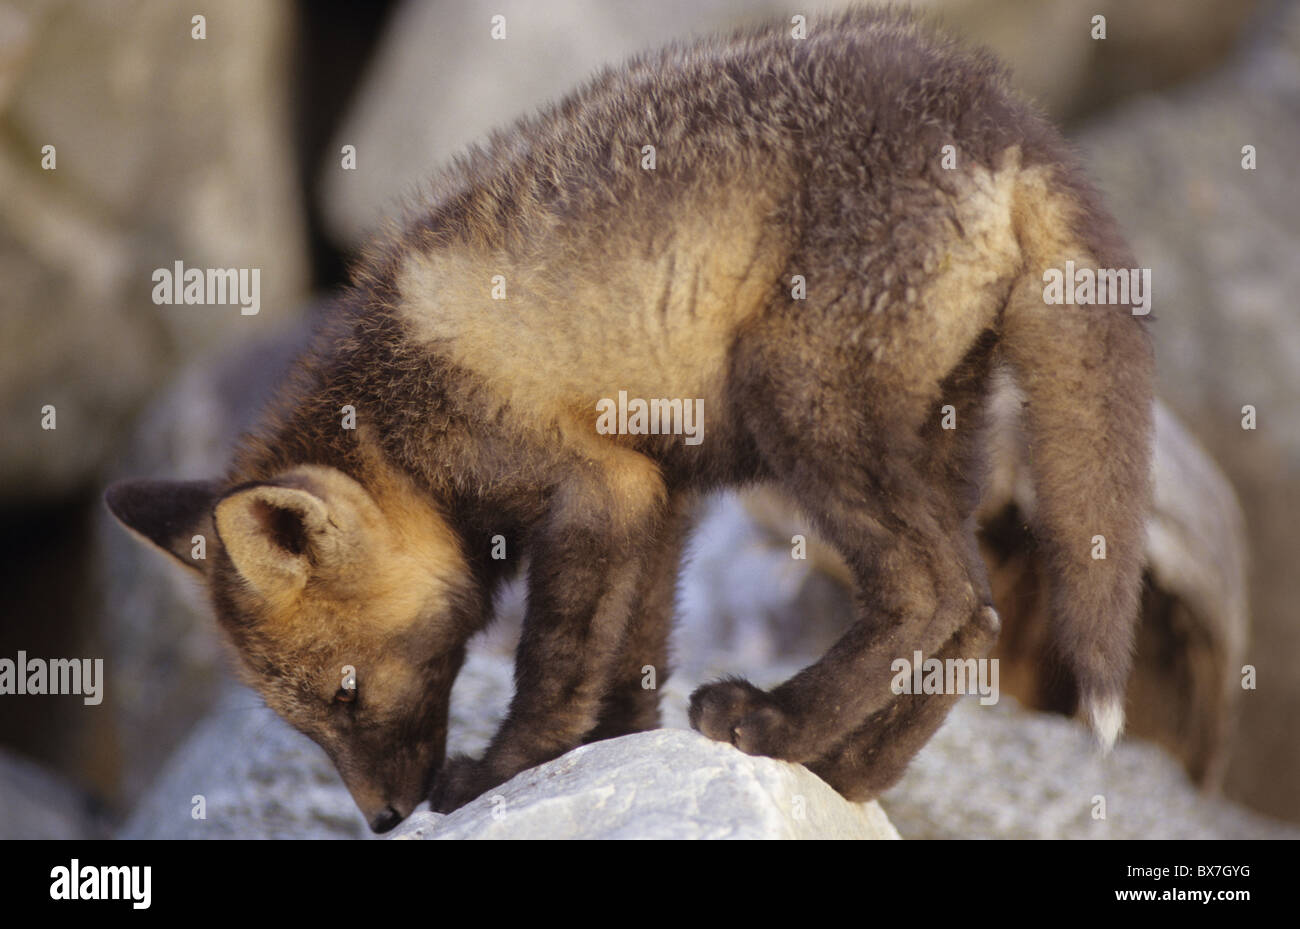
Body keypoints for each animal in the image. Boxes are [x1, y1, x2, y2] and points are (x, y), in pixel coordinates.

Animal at [106, 6, 1153, 833]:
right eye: (306, 721)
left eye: (344, 693)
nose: (384, 817)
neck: (408, 410)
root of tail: (990, 103)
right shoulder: (660, 481)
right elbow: (634, 648)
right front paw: (615, 747)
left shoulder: (595, 485)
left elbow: (553, 663)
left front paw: (501, 773)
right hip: (934, 435)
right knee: (977, 615)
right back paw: (847, 770)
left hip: (801, 408)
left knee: (931, 593)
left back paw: (775, 723)